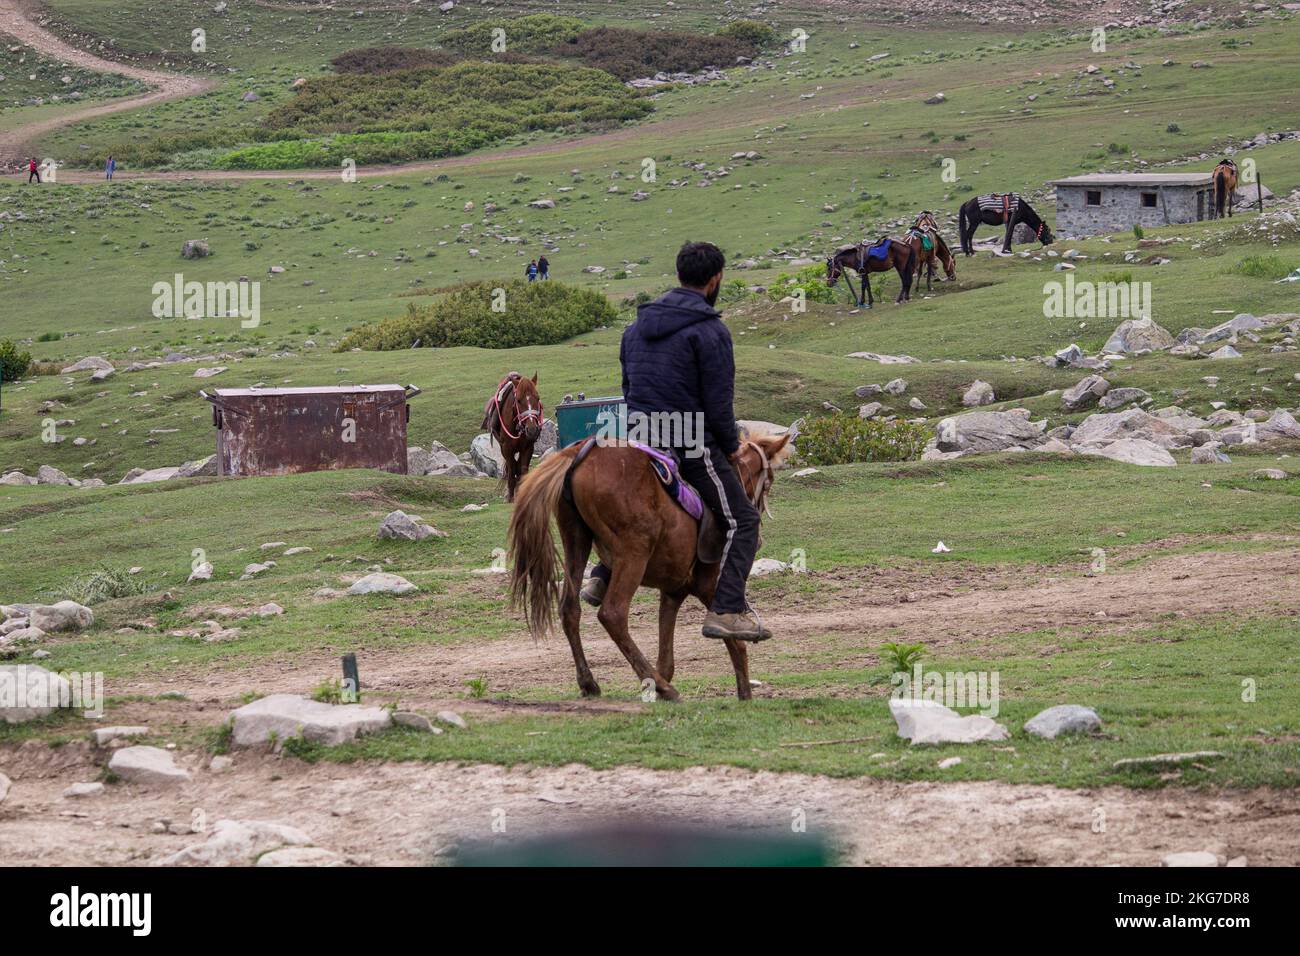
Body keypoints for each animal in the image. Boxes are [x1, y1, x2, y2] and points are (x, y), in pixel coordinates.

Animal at [481, 371, 543, 502]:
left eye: (538, 398)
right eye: (518, 400)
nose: (532, 430)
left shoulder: (528, 448)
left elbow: (523, 470)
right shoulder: (507, 449)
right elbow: (511, 472)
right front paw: (510, 497)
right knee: (513, 467)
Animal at [508, 434, 790, 702]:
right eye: (769, 480)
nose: (759, 538)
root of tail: (580, 452)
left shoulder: (673, 592)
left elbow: (666, 657)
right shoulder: (710, 585)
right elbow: (734, 642)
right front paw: (745, 694)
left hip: (576, 540)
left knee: (569, 609)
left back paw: (590, 682)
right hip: (634, 552)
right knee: (612, 614)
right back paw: (665, 689)